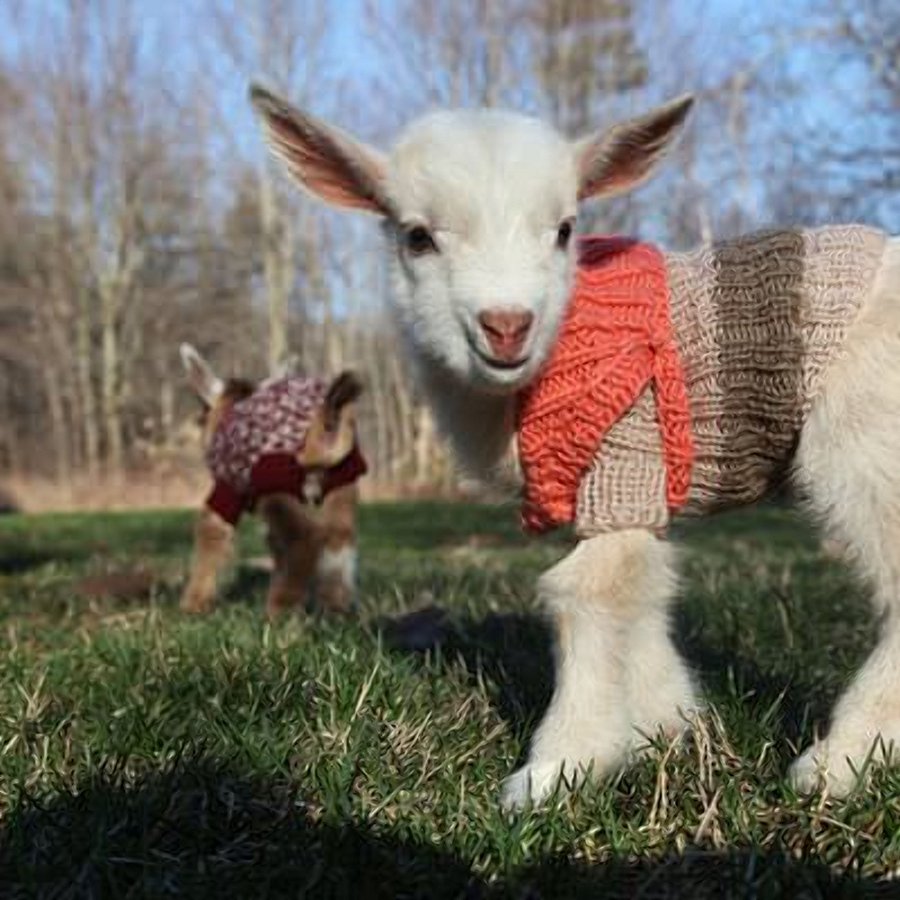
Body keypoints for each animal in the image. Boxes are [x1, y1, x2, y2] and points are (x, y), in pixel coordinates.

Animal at [179, 343, 366, 619]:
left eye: (202, 415)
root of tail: (324, 424)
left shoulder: (227, 491)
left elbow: (211, 534)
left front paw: (193, 605)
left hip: (274, 481)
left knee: (302, 537)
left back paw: (279, 611)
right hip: (341, 480)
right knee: (338, 537)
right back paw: (334, 608)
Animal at [249, 85, 900, 808]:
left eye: (565, 229)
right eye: (416, 237)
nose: (506, 325)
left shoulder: (623, 458)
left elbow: (588, 591)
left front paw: (558, 769)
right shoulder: (628, 495)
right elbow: (641, 594)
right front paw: (665, 724)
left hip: (866, 442)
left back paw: (837, 764)